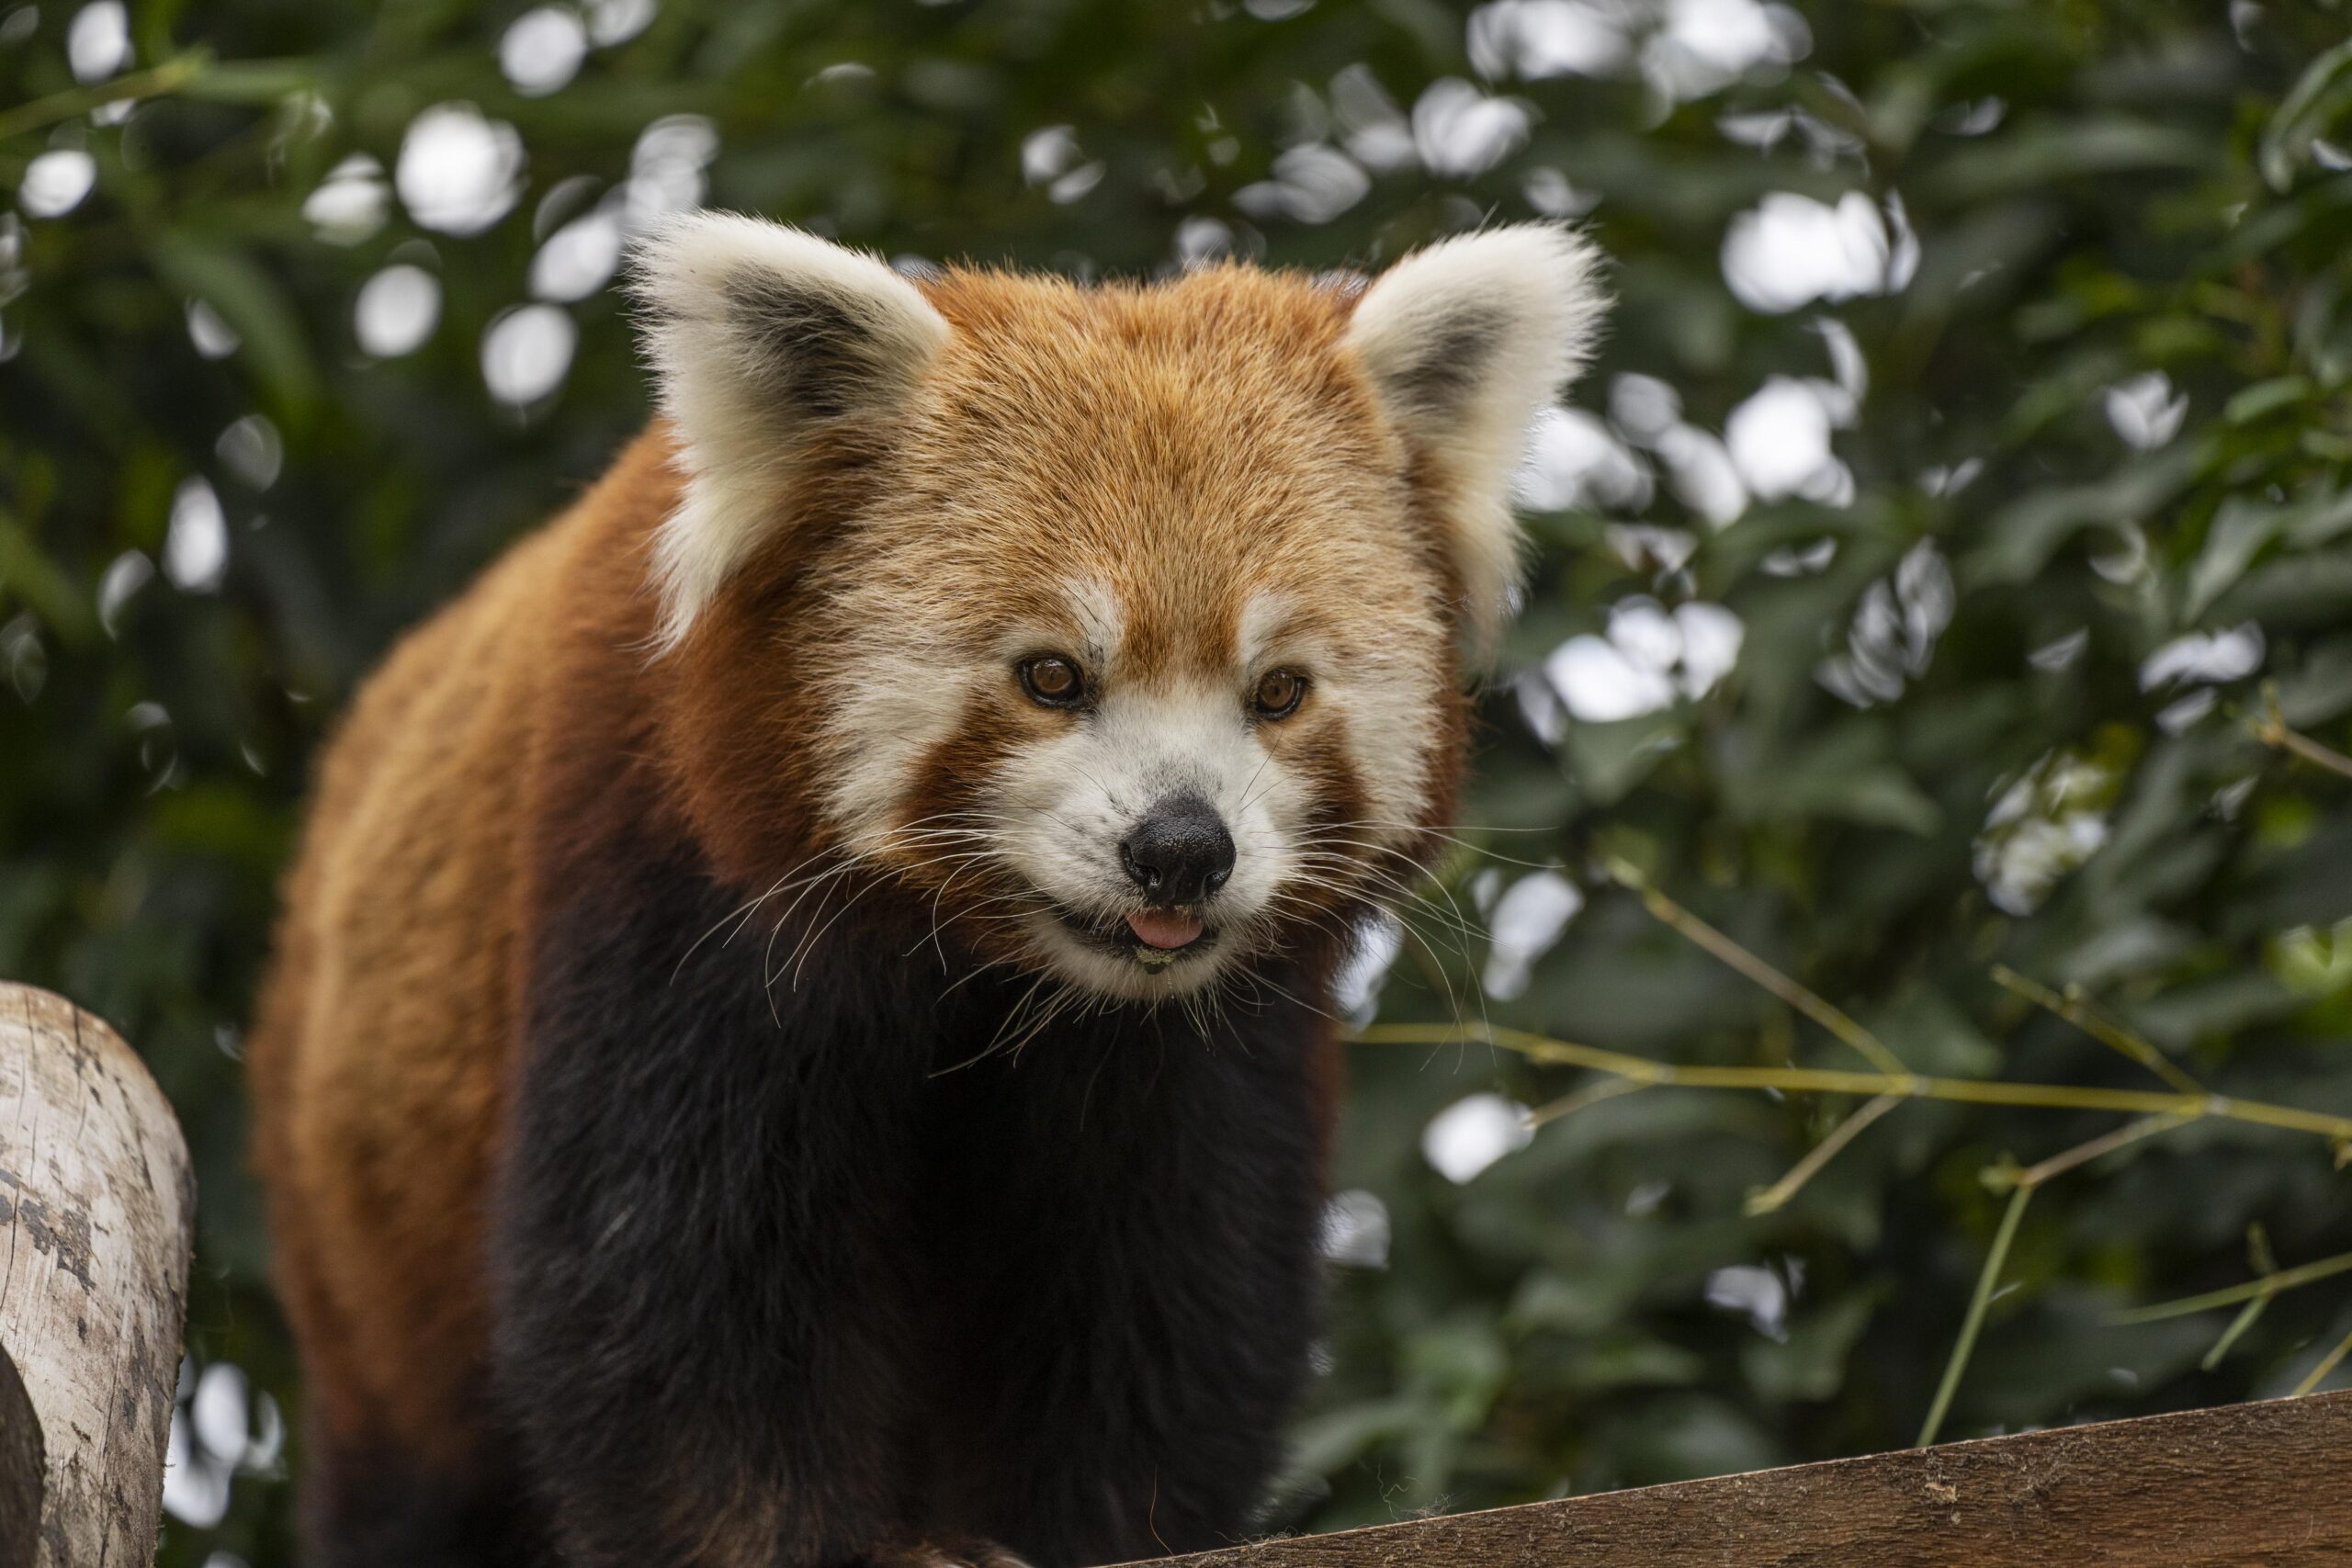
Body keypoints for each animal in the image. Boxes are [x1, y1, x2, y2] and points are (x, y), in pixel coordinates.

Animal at [246, 215, 1605, 1567]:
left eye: (1277, 691)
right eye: (1052, 676)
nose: (1182, 849)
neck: (992, 967)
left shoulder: (1193, 1061)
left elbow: (1157, 1300)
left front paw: (1078, 1529)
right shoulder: (670, 892)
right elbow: (672, 1294)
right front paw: (803, 1543)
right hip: (360, 1247)